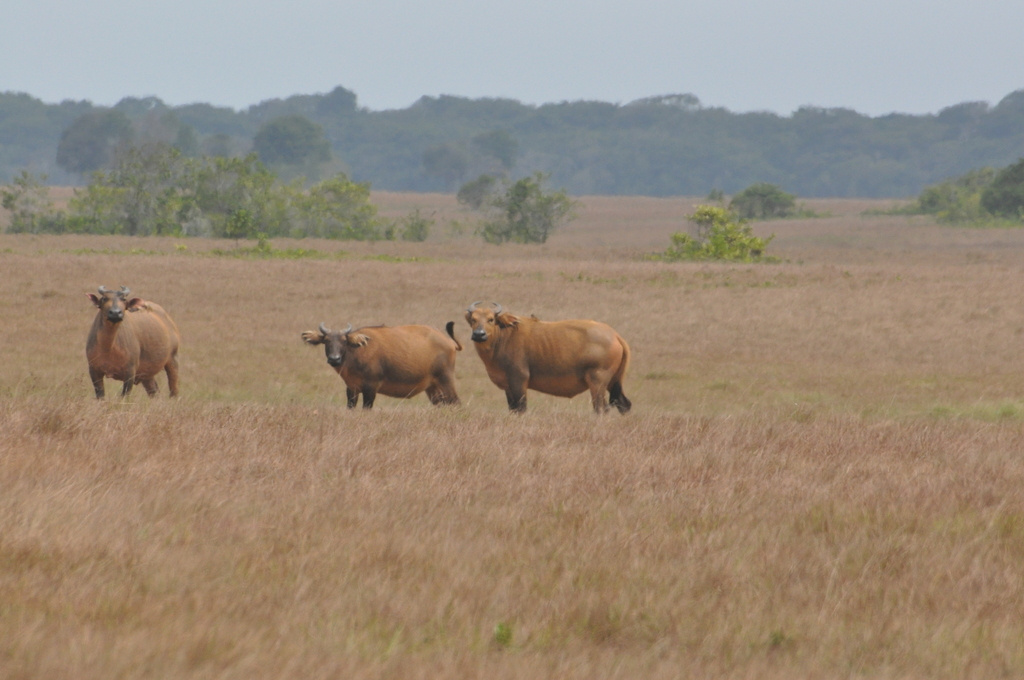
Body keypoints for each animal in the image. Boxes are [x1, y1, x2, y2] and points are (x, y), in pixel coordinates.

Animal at [302, 322, 461, 408]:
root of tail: (449, 342)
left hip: (446, 381)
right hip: (432, 389)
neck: (359, 350)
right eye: (326, 341)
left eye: (344, 341)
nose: (334, 359)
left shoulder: (371, 389)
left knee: (455, 403)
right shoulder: (351, 389)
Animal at [464, 302, 631, 414]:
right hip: (613, 383)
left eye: (491, 319)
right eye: (473, 319)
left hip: (598, 383)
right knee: (624, 404)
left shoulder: (519, 382)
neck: (504, 336)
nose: (479, 334)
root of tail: (614, 335)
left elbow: (521, 409)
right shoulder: (508, 387)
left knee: (601, 408)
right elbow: (512, 409)